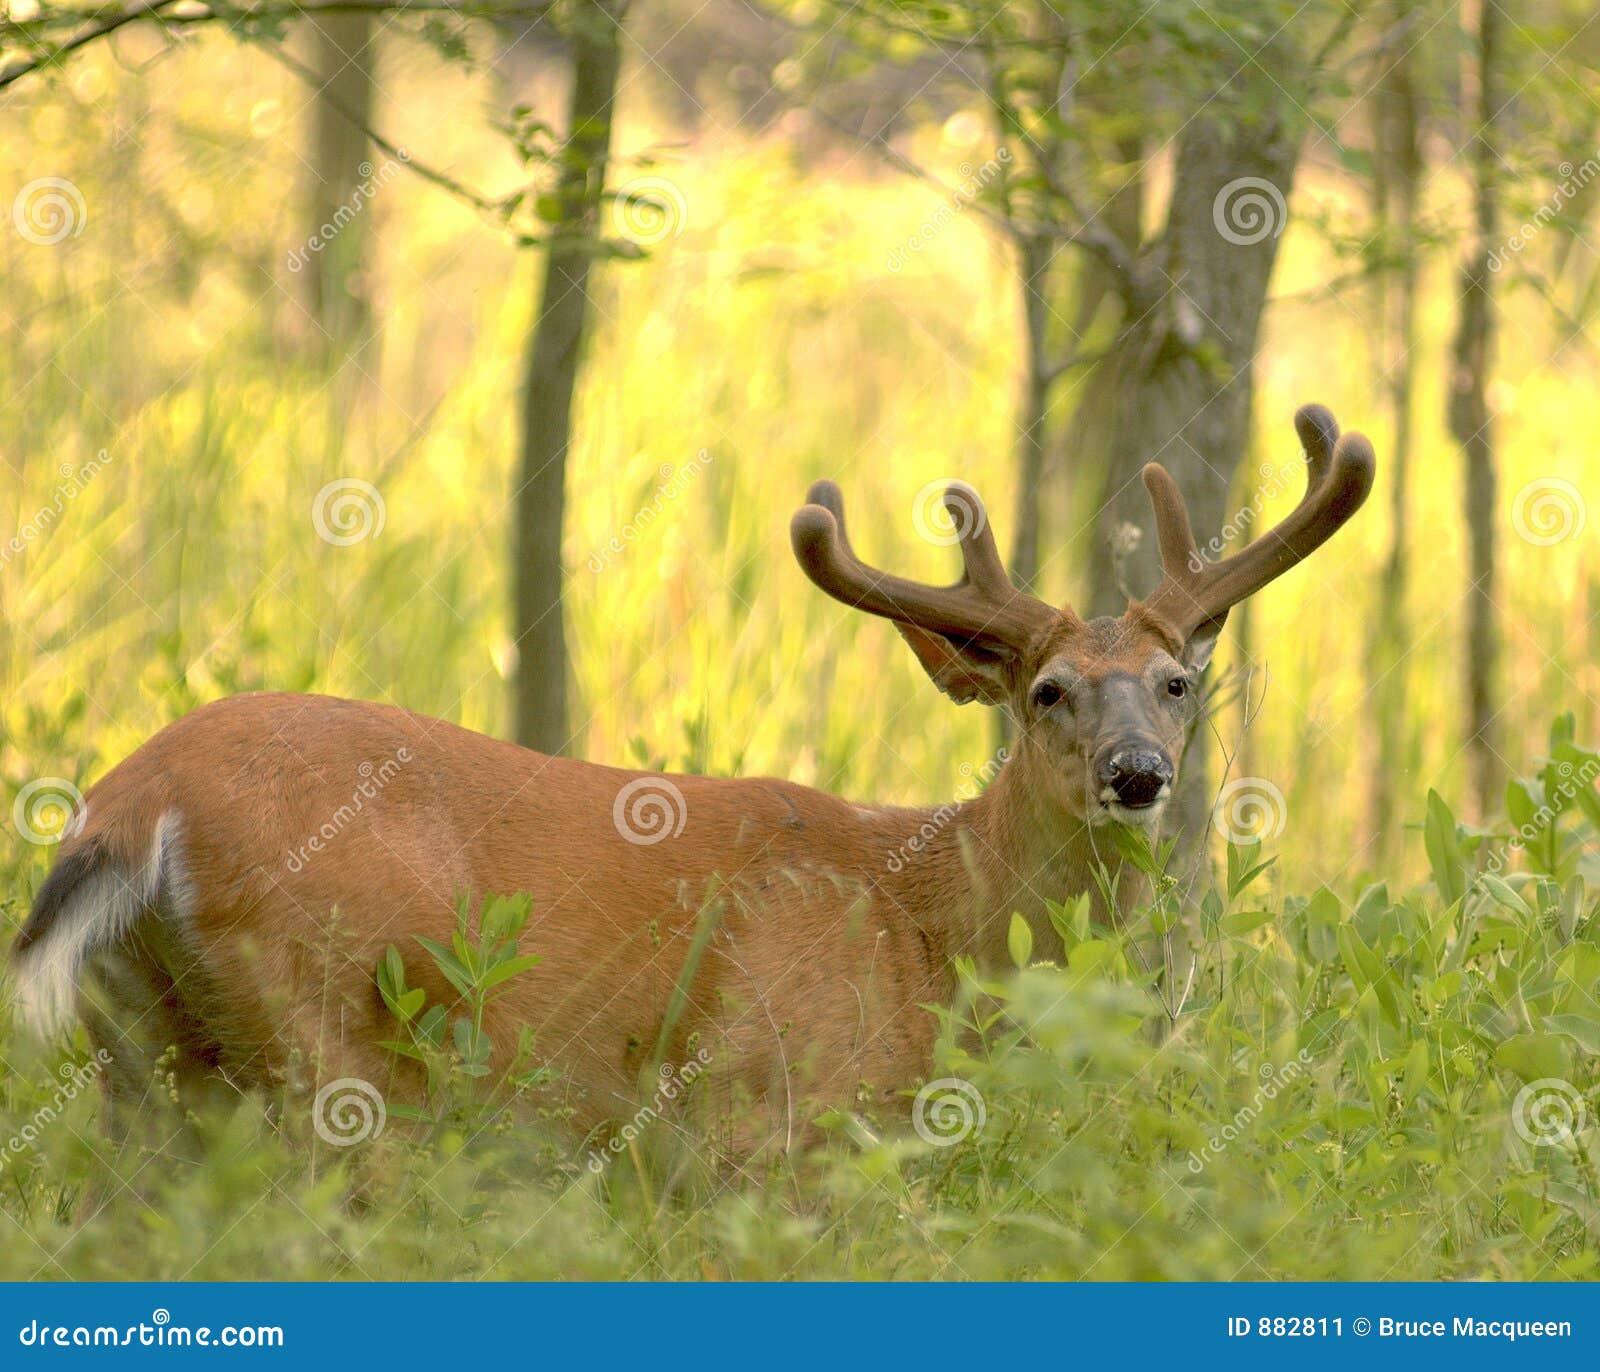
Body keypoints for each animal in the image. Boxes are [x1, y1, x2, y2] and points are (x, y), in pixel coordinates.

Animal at [8, 404, 1372, 1158]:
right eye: (1047, 693)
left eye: (1177, 682)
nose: (1138, 774)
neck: (933, 931)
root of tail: (133, 802)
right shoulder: (768, 1113)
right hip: (330, 1027)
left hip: (144, 1055)